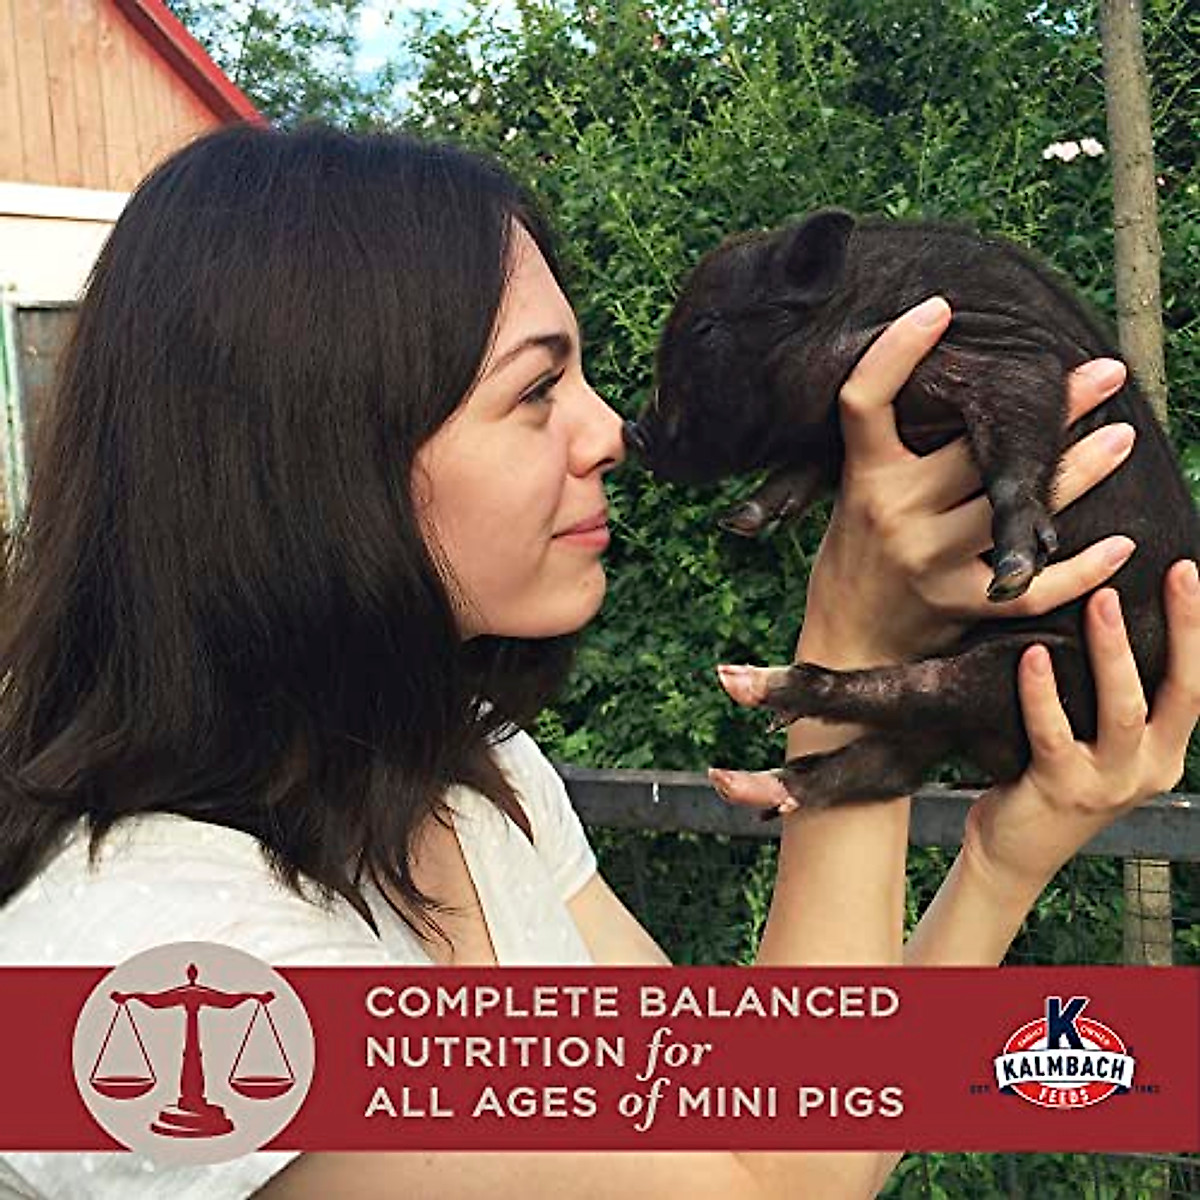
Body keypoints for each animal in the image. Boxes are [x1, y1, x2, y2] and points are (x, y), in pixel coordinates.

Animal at [623, 209, 1200, 810]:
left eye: (707, 328)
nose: (635, 431)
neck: (856, 310)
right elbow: (812, 462)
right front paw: (744, 519)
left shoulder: (1002, 350)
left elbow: (1019, 421)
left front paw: (1011, 578)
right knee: (891, 762)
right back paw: (757, 778)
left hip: (1039, 662)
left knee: (919, 698)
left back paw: (762, 687)